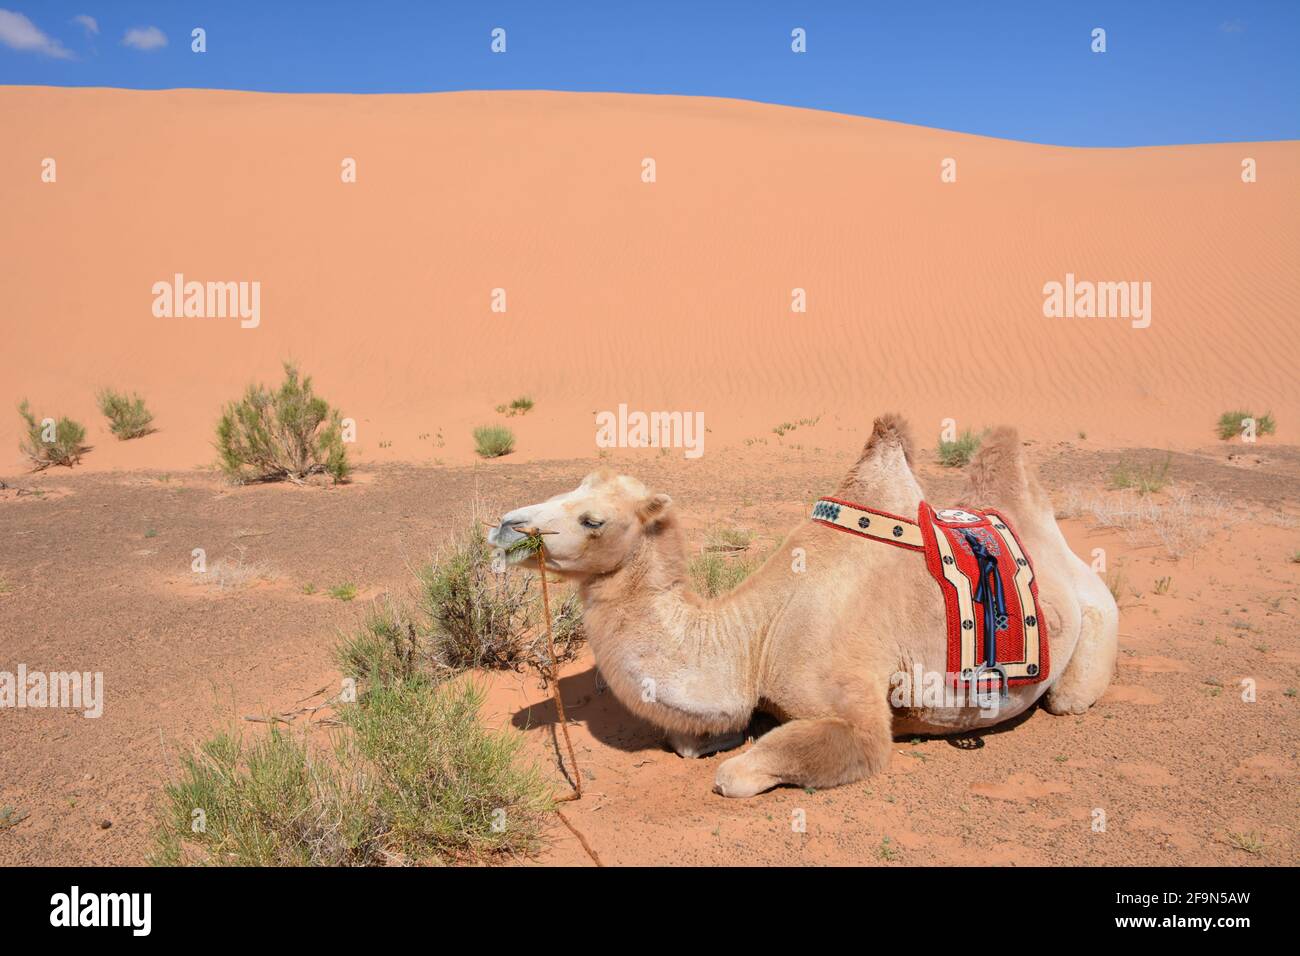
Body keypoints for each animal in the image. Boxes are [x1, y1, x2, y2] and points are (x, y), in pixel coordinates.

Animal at [488, 415, 1119, 797]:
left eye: (592, 519)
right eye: (570, 488)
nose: (504, 527)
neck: (755, 639)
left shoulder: (857, 708)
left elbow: (742, 770)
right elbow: (694, 740)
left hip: (1094, 625)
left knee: (1068, 696)